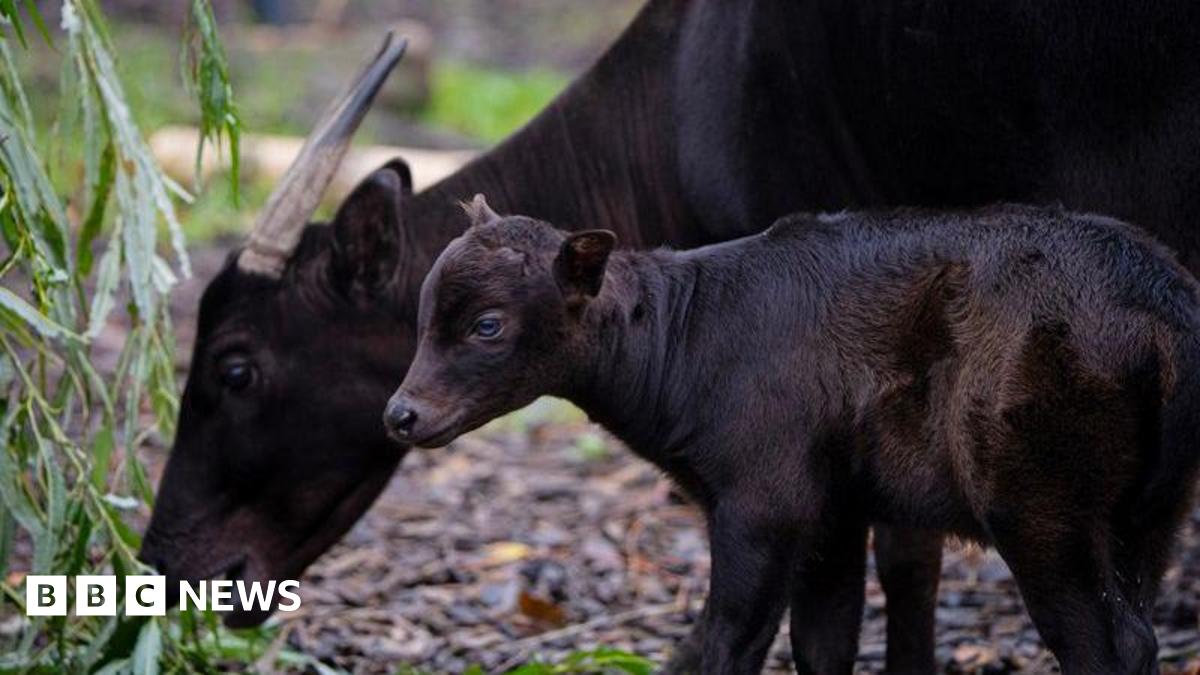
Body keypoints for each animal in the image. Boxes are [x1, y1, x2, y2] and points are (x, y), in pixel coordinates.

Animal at [140, 1, 1200, 671]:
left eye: (234, 367)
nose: (163, 561)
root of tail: (1163, 305)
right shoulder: (835, 500)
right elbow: (832, 635)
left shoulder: (784, 496)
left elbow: (820, 608)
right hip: (1142, 516)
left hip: (1043, 514)